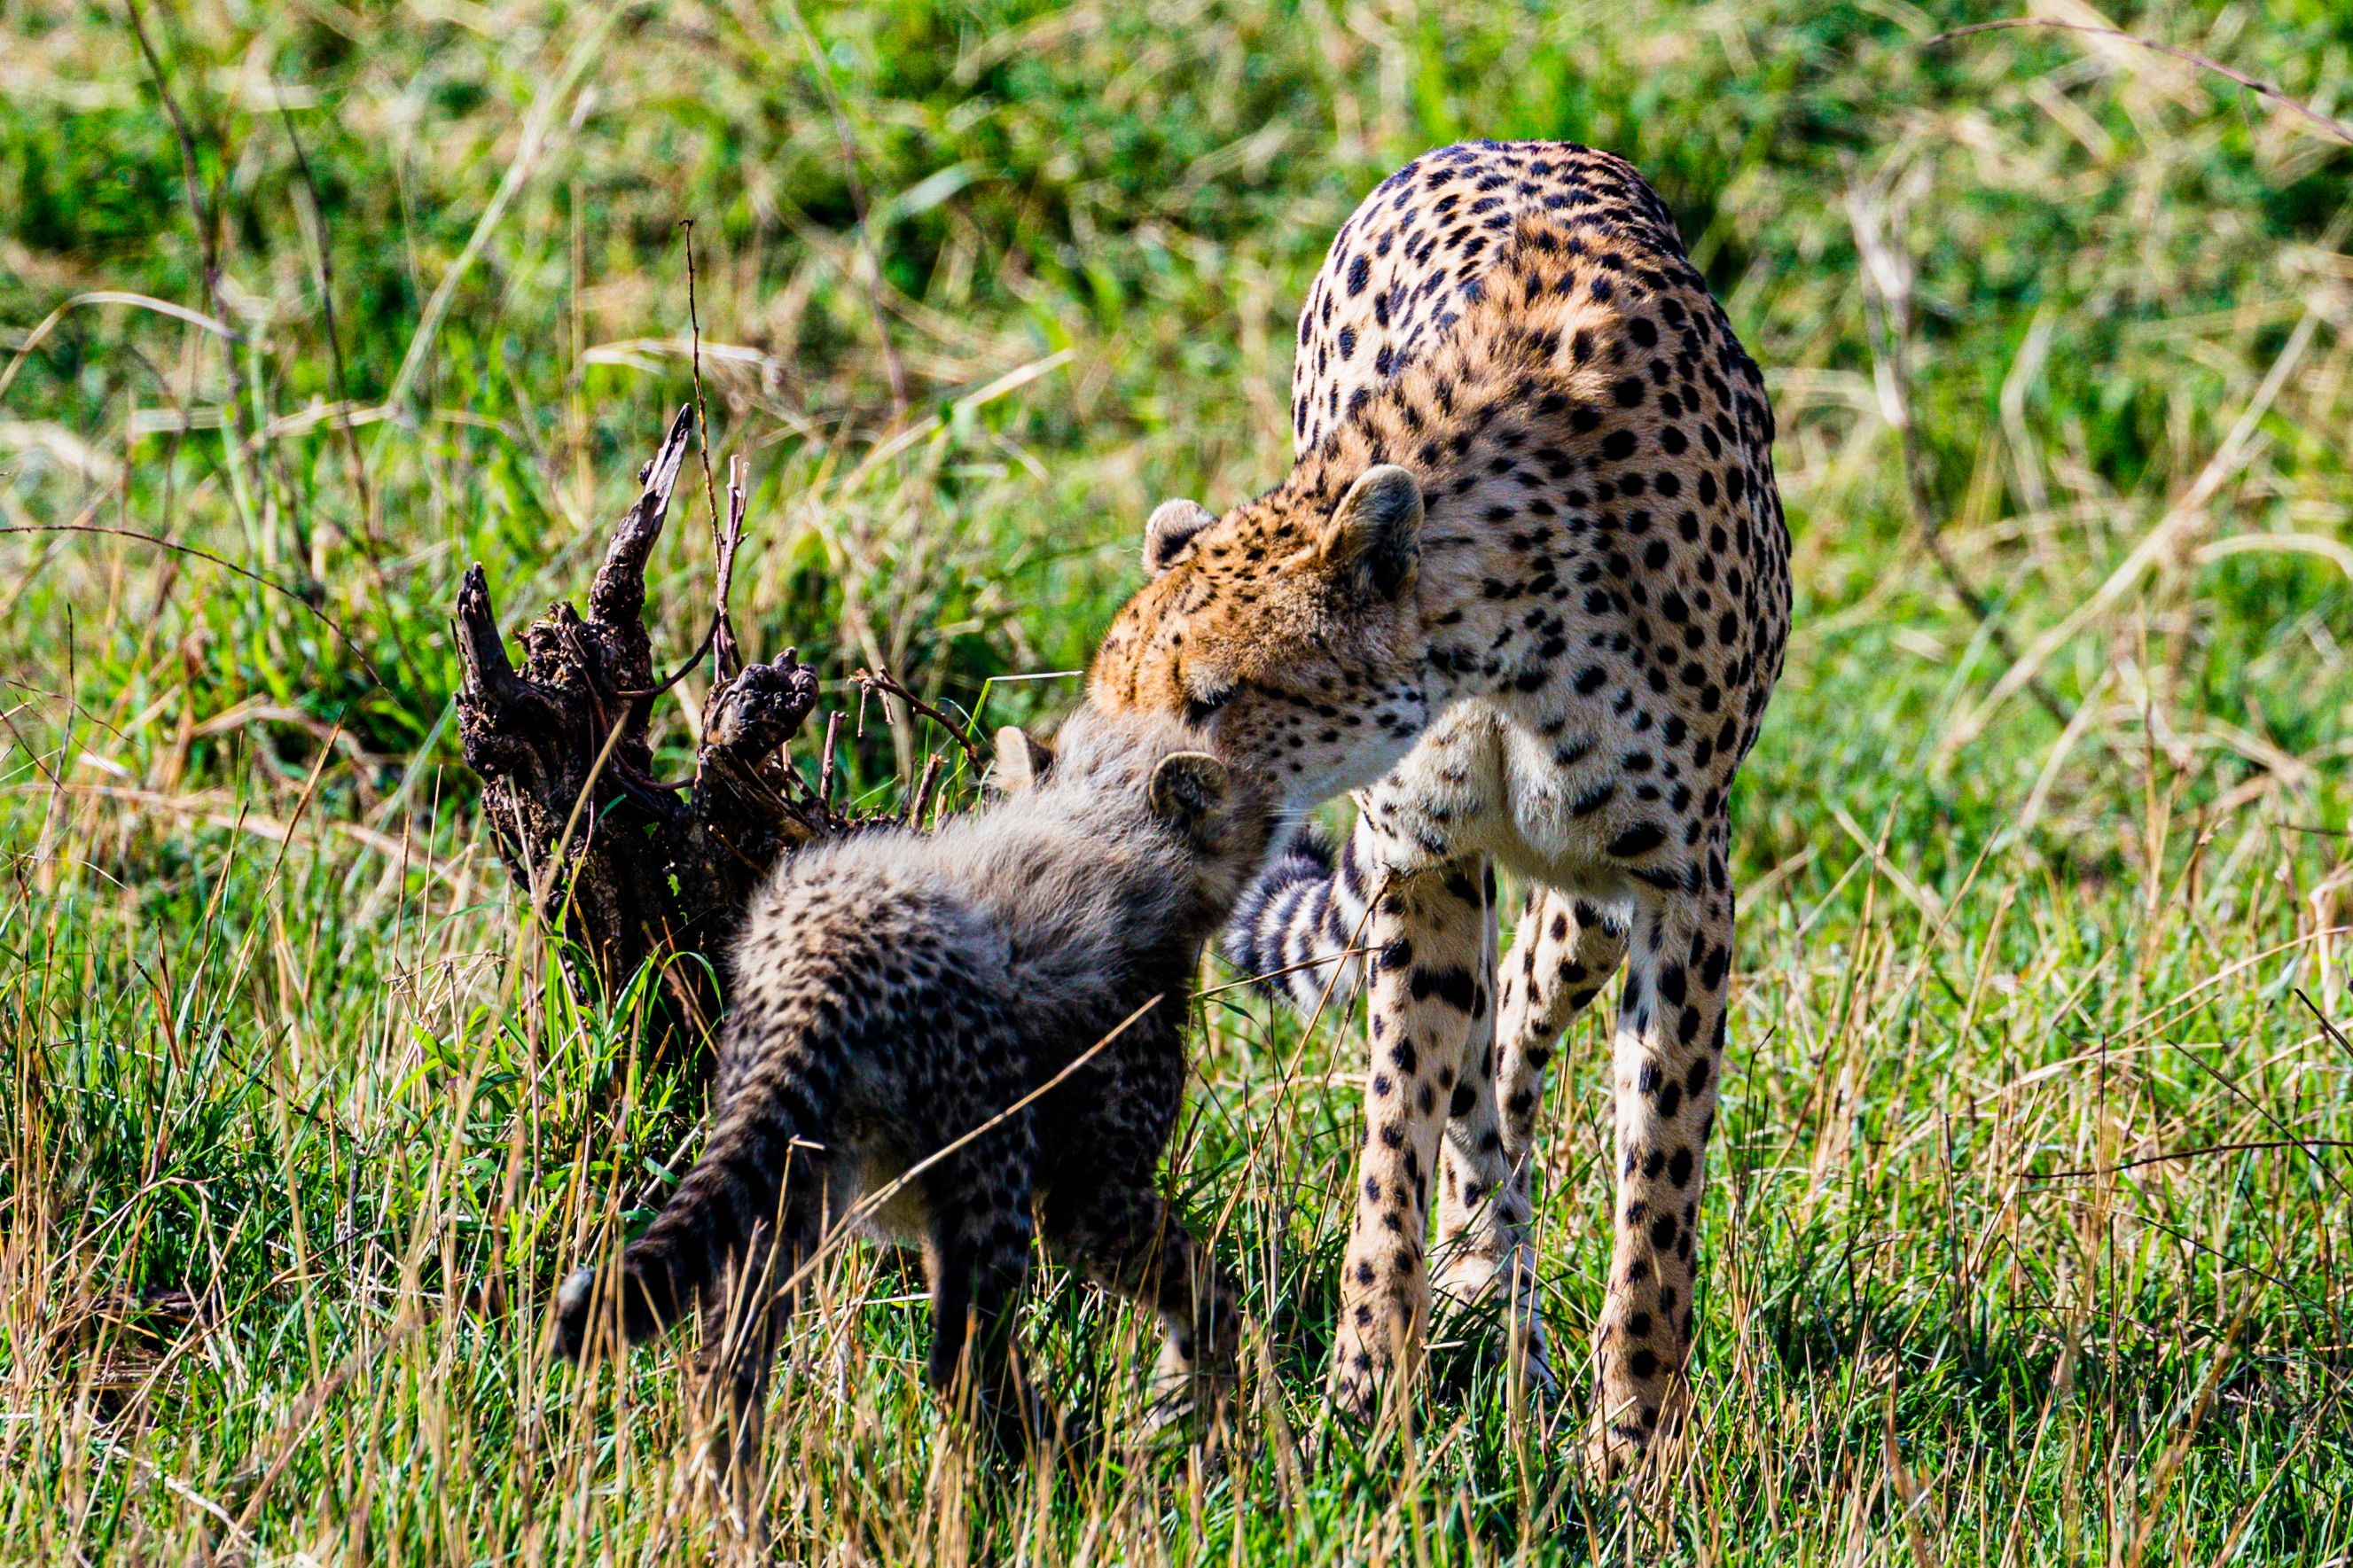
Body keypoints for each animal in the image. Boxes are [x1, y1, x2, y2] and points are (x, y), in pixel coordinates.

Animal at [553, 706, 1269, 1482]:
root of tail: (828, 957)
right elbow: (1205, 1285)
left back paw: (730, 1492)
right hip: (991, 1160)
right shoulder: (1095, 1195)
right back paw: (1066, 1469)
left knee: (729, 1356)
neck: (1111, 833)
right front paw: (1196, 1406)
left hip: (787, 1172)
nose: (1278, 820)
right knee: (963, 1356)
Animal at [1091, 140, 1789, 1475]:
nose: (1134, 806)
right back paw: (1488, 1301)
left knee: (1522, 1010)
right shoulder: (1419, 864)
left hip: (1592, 902)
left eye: (1213, 696)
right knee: (1478, 1077)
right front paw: (1368, 1395)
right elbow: (1394, 1141)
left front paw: (1635, 1446)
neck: (1498, 636)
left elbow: (1659, 1186)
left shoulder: (1682, 887)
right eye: (1118, 693)